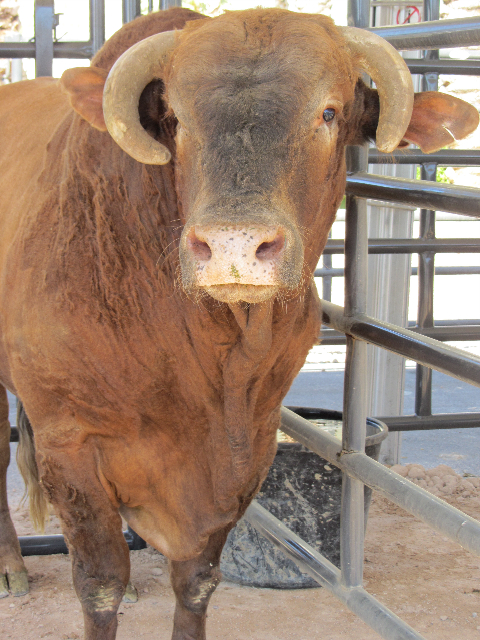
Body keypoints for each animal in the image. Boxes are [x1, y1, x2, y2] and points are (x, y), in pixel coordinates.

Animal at [0, 7, 477, 640]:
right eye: (175, 118)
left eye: (329, 112)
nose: (234, 245)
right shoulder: (68, 444)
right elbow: (98, 584)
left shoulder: (246, 452)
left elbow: (196, 580)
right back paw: (12, 568)